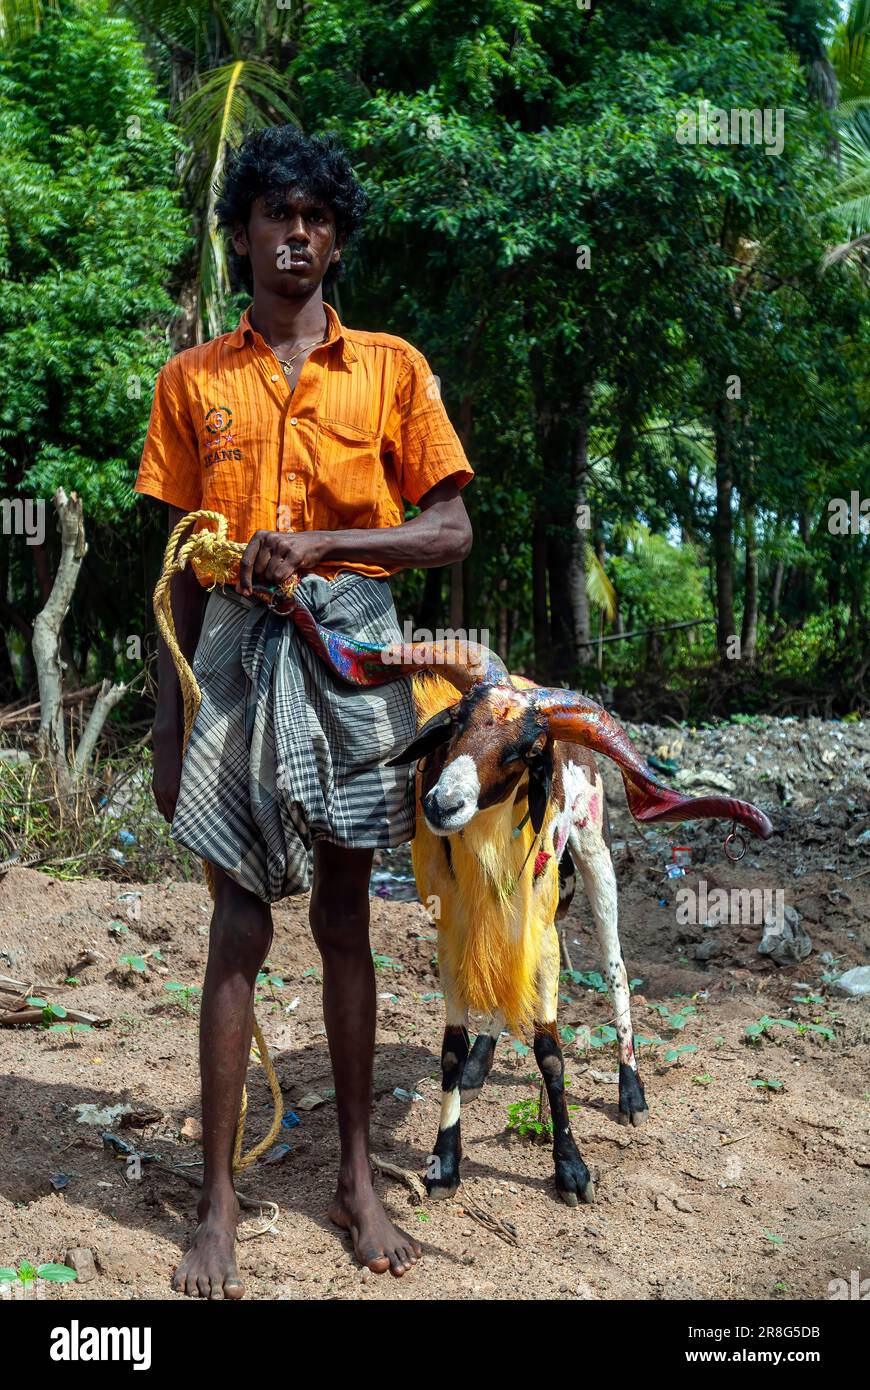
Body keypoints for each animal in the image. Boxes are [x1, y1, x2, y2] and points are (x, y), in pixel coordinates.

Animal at [386, 643, 773, 1207]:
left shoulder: (542, 929)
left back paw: (631, 1090)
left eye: (526, 751)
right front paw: (444, 1163)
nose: (442, 803)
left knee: (615, 966)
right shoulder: (452, 932)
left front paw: (571, 1169)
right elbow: (452, 1051)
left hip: (594, 853)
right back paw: (483, 1062)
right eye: (456, 722)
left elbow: (550, 1053)